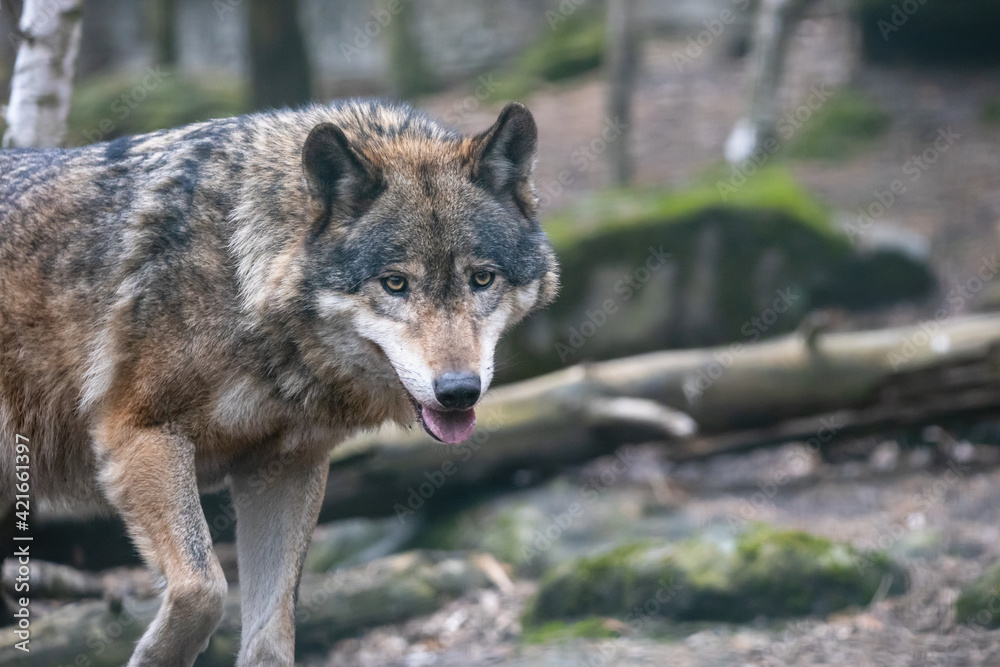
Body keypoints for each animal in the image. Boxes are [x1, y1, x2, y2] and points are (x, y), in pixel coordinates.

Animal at [0, 100, 558, 665]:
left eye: (481, 279)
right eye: (395, 284)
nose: (459, 390)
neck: (240, 274)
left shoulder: (284, 467)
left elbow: (272, 636)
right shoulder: (140, 434)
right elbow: (203, 590)